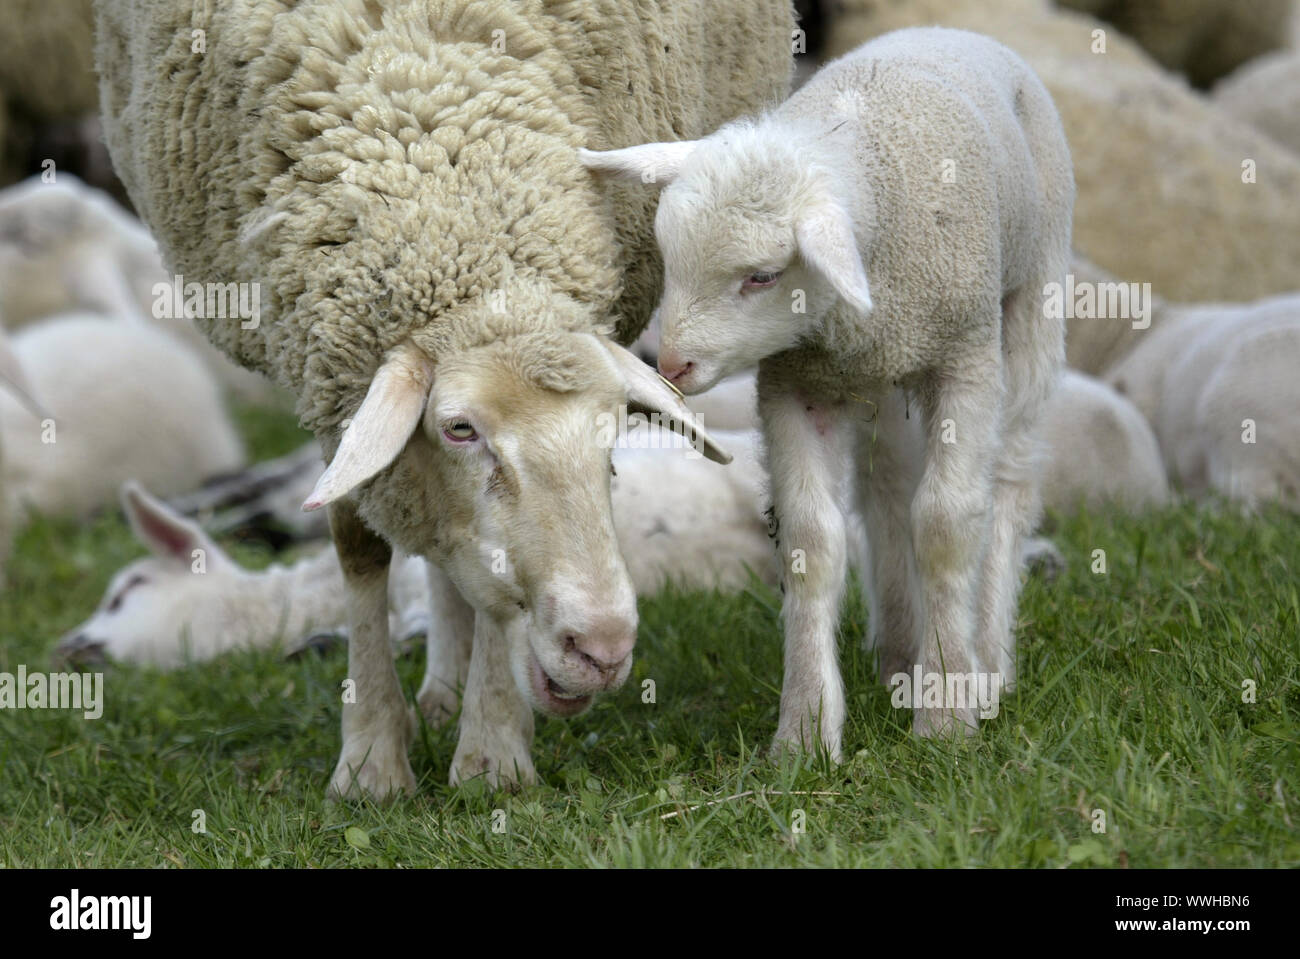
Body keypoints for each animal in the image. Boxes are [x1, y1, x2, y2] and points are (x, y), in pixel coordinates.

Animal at [97, 0, 796, 797]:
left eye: (617, 428)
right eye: (459, 428)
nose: (602, 649)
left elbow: (488, 584)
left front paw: (491, 752)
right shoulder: (324, 375)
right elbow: (363, 549)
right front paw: (371, 759)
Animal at [582, 26, 1074, 753]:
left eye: (761, 276)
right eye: (669, 257)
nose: (673, 365)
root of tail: (946, 29)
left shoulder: (962, 361)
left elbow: (947, 522)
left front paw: (947, 714)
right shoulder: (795, 382)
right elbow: (812, 541)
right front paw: (806, 730)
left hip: (1032, 292)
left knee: (1010, 475)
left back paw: (987, 658)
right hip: (886, 372)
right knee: (889, 486)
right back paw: (900, 650)